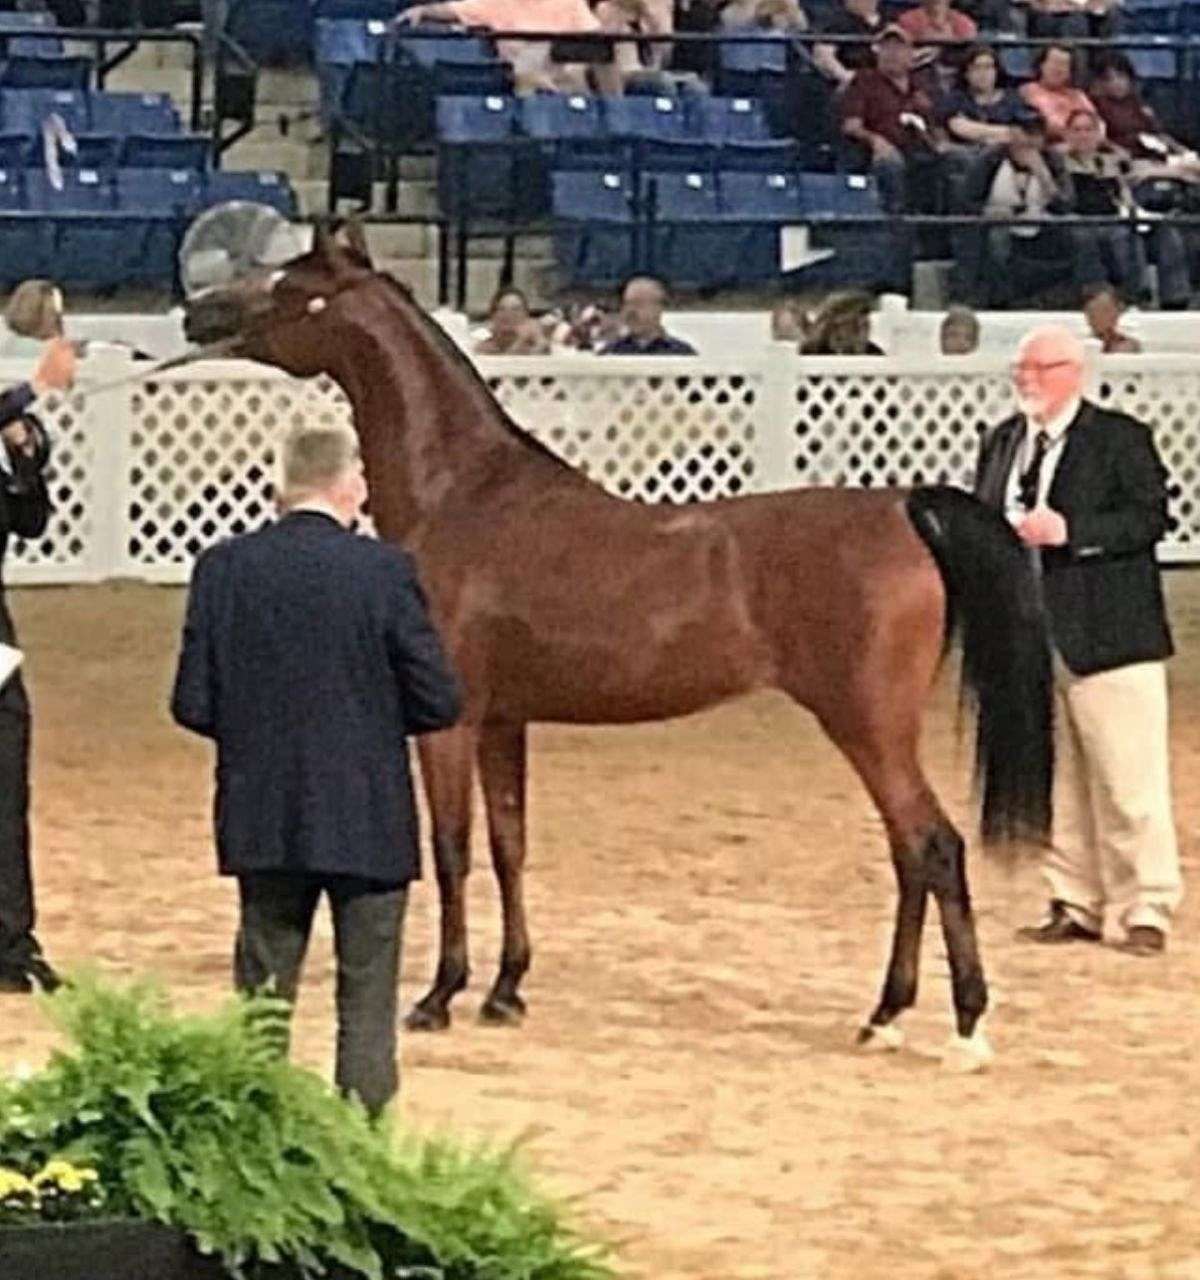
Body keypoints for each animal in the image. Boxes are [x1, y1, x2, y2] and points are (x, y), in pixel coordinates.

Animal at [183, 224, 1053, 1066]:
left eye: (290, 287)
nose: (197, 315)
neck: (463, 495)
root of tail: (903, 509)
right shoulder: (504, 721)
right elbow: (508, 844)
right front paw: (506, 989)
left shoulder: (450, 723)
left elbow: (452, 847)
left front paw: (439, 996)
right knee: (909, 853)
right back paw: (886, 1016)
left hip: (867, 725)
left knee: (933, 846)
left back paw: (962, 1024)